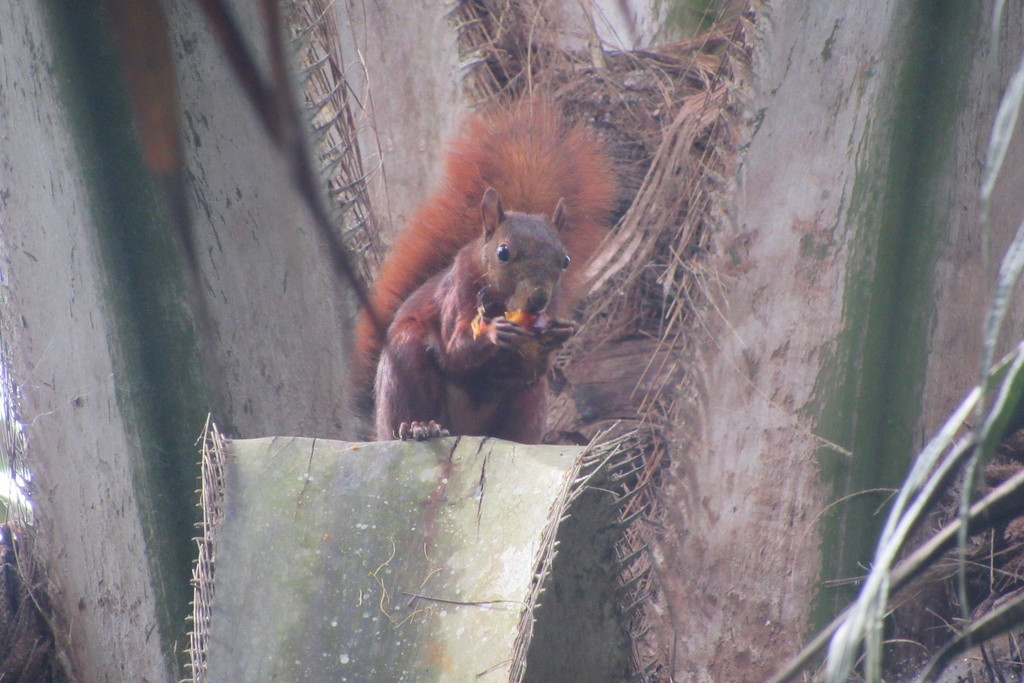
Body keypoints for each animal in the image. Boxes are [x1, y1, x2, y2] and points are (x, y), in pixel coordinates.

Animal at [354, 98, 617, 443]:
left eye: (566, 261)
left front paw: (560, 333)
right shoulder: (457, 290)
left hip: (530, 401)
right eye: (503, 253)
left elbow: (532, 367)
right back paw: (418, 427)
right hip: (404, 362)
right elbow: (455, 351)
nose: (538, 299)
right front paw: (492, 331)